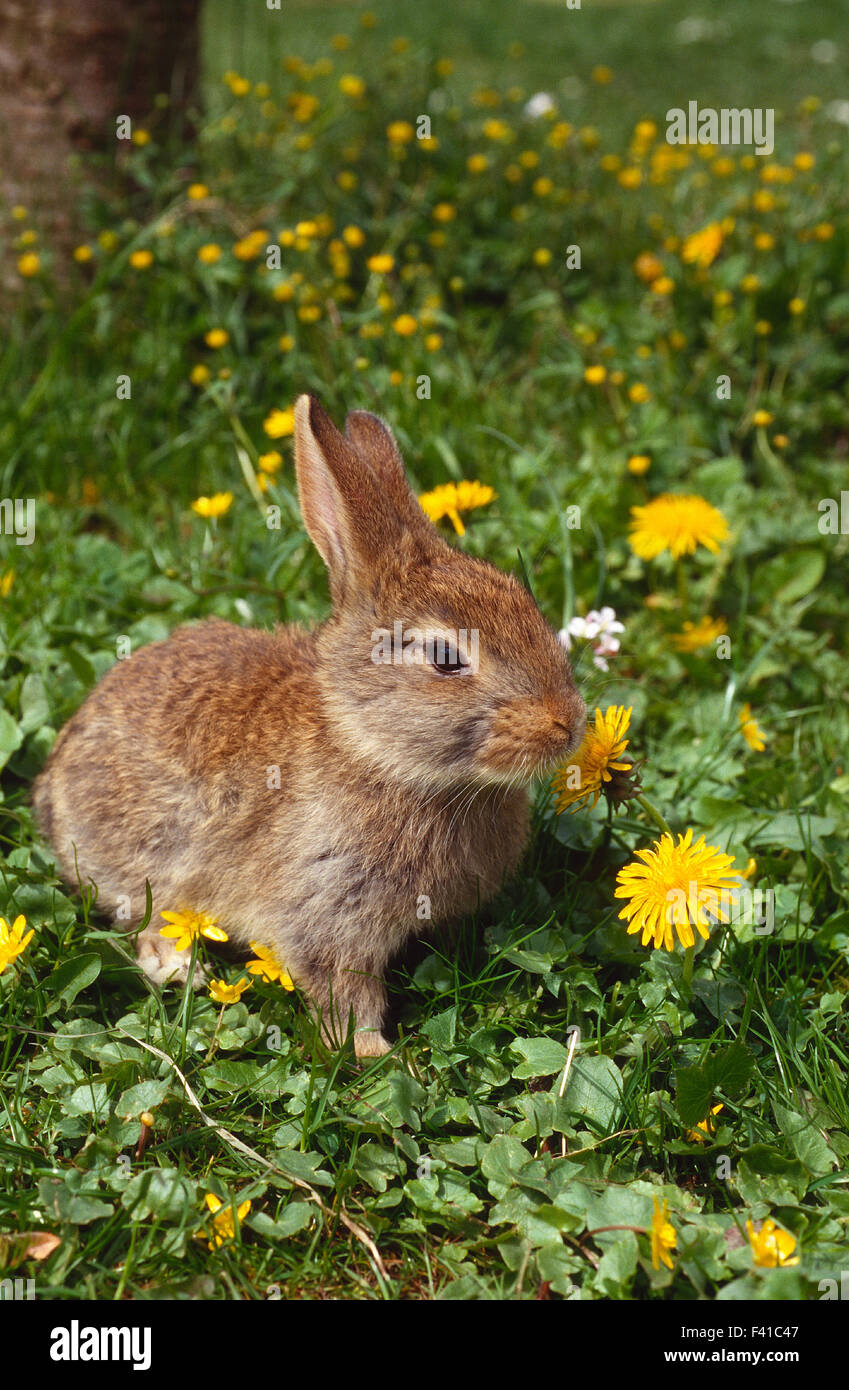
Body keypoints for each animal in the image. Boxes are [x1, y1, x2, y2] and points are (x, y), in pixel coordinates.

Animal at [32, 396, 586, 1057]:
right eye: (445, 659)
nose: (568, 724)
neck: (372, 747)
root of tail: (55, 777)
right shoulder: (327, 909)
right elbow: (343, 990)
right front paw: (377, 1057)